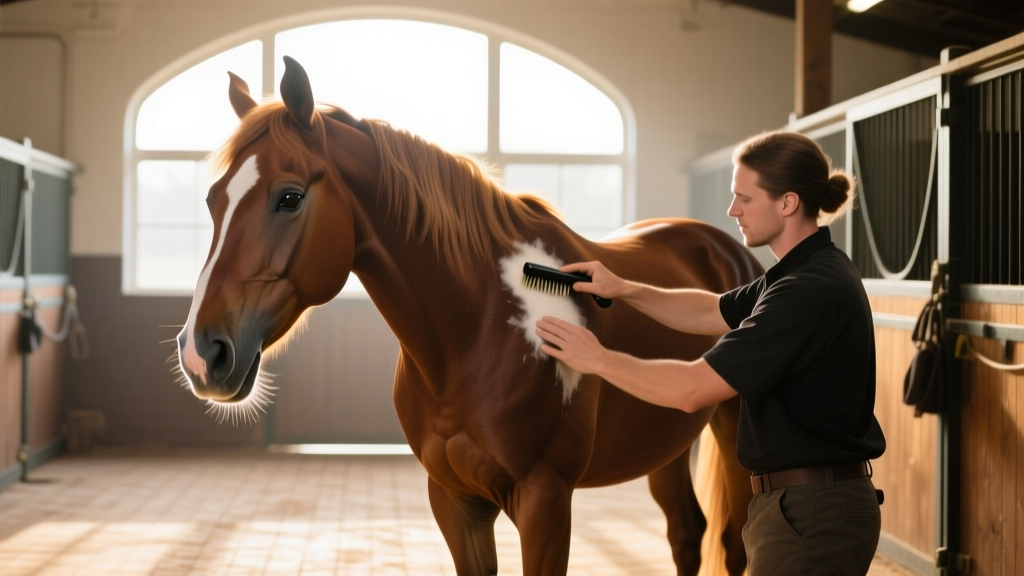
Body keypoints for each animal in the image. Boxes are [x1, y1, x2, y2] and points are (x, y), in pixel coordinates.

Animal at [175, 56, 763, 576]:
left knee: (733, 545)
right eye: (211, 200)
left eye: (290, 197)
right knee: (686, 535)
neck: (476, 331)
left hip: (734, 436)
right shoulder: (454, 500)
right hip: (666, 443)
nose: (201, 353)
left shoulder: (545, 500)